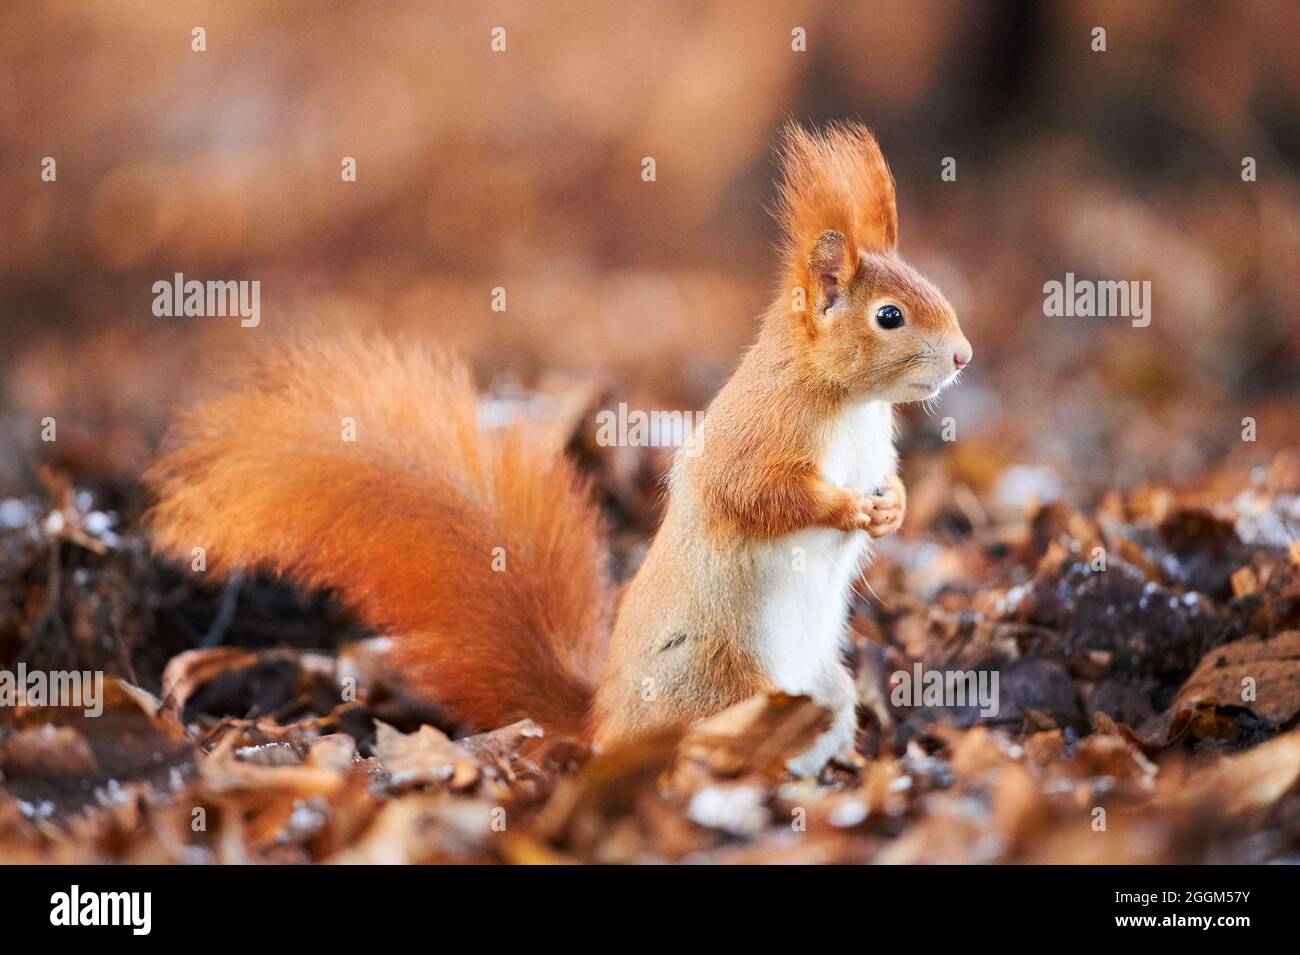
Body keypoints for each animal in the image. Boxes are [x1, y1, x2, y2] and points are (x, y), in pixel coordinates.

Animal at [145, 122, 971, 776]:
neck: (846, 402)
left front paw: (891, 508)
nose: (963, 356)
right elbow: (759, 494)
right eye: (890, 316)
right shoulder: (758, 434)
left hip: (824, 690)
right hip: (726, 683)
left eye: (932, 285)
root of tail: (602, 718)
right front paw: (845, 508)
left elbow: (884, 484)